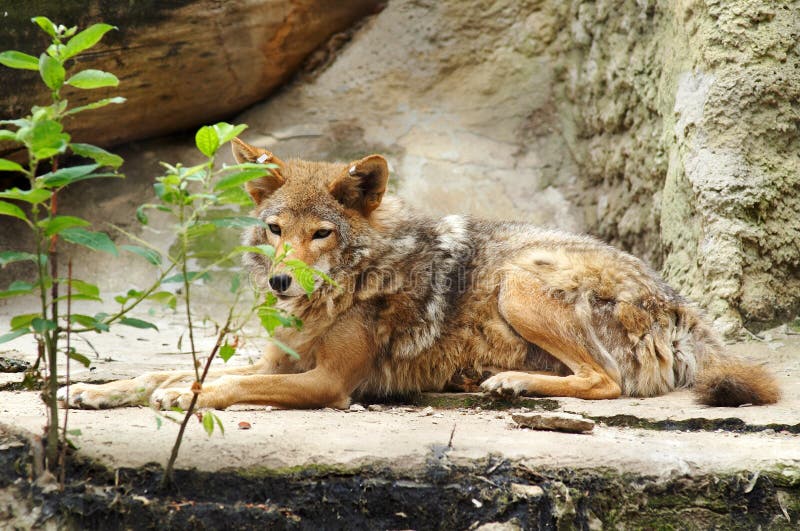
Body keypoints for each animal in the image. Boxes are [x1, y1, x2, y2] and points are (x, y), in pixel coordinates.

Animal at [58, 138, 780, 410]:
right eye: (276, 229)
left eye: (321, 234)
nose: (281, 285)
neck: (352, 282)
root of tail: (683, 307)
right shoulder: (283, 359)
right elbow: (173, 371)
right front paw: (96, 390)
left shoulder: (327, 382)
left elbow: (224, 384)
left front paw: (188, 396)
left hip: (519, 281)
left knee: (606, 381)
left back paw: (510, 382)